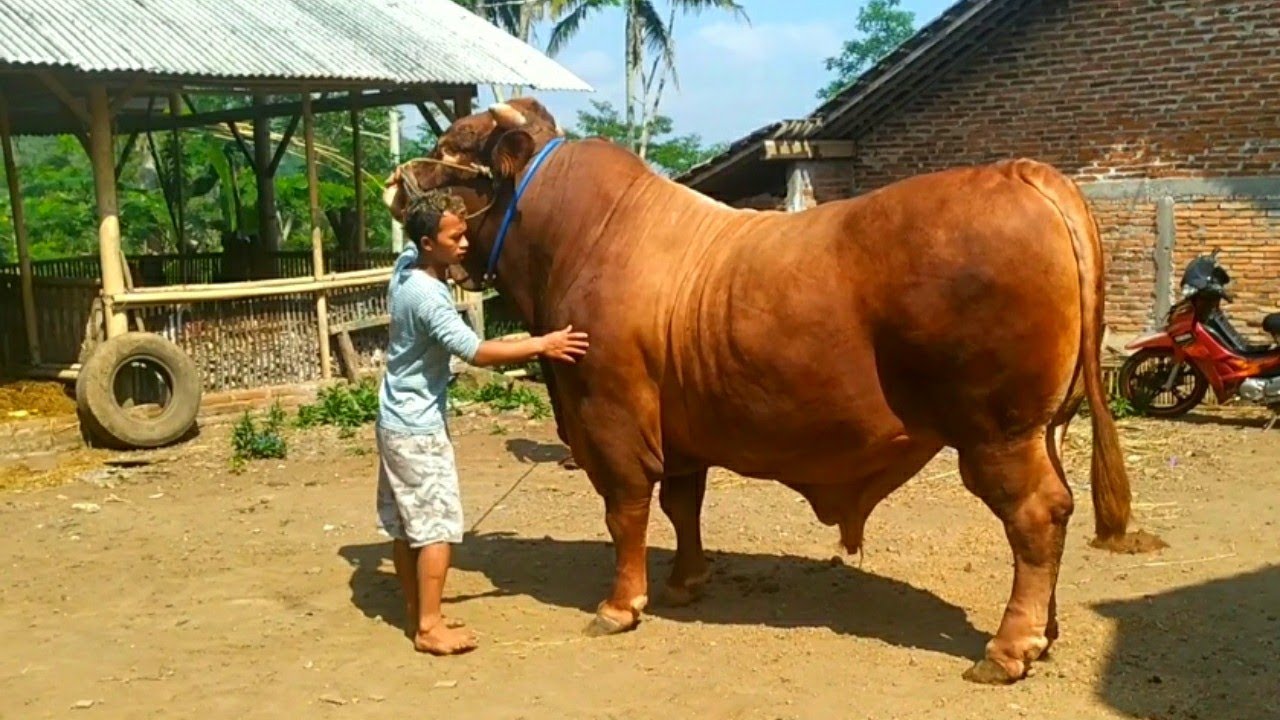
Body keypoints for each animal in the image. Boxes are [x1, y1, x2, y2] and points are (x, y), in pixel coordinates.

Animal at [382, 96, 1164, 684]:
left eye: (452, 146)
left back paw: (1007, 649)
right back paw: (1045, 631)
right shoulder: (680, 428)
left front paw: (621, 604)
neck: (577, 239)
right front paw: (686, 582)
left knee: (1036, 516)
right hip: (1044, 425)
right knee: (1058, 509)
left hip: (998, 431)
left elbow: (627, 509)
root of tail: (1020, 172)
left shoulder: (608, 413)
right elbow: (683, 504)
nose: (394, 182)